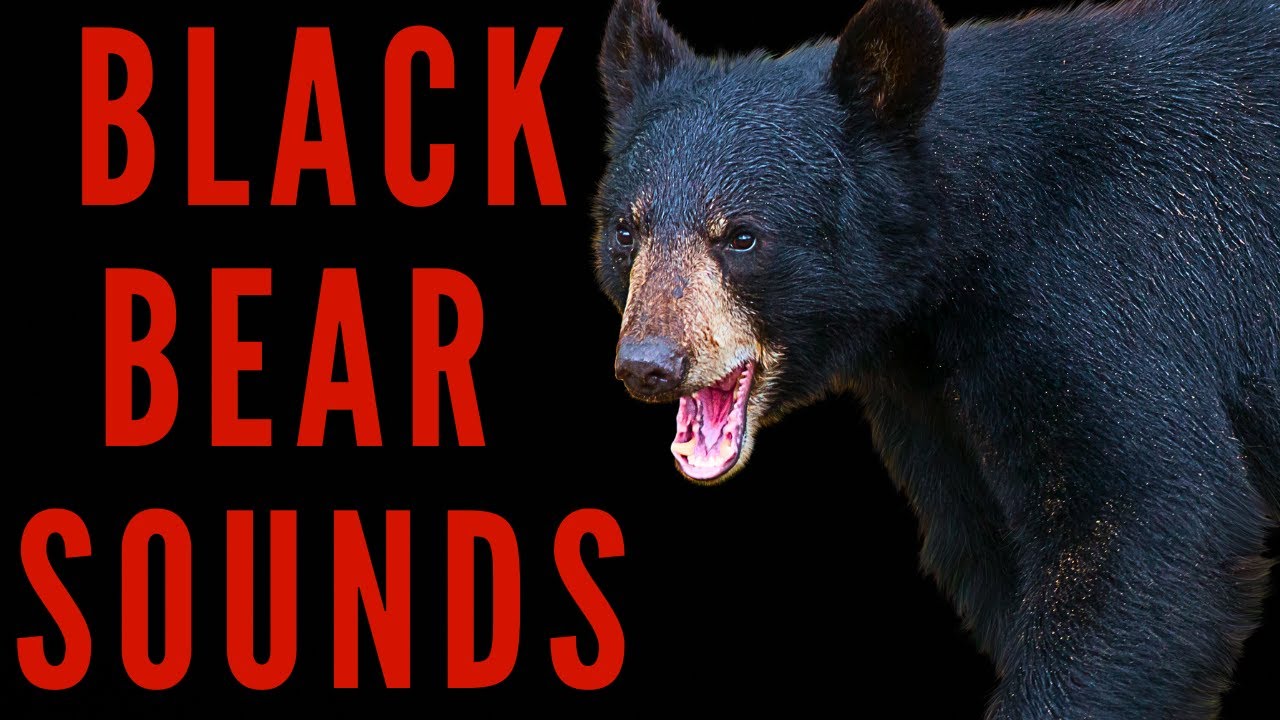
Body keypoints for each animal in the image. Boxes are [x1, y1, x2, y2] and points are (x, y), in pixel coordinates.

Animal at [591, 0, 1279, 717]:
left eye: (743, 237)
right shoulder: (934, 409)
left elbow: (1154, 519)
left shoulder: (1104, 290)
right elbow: (990, 546)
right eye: (626, 232)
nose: (648, 365)